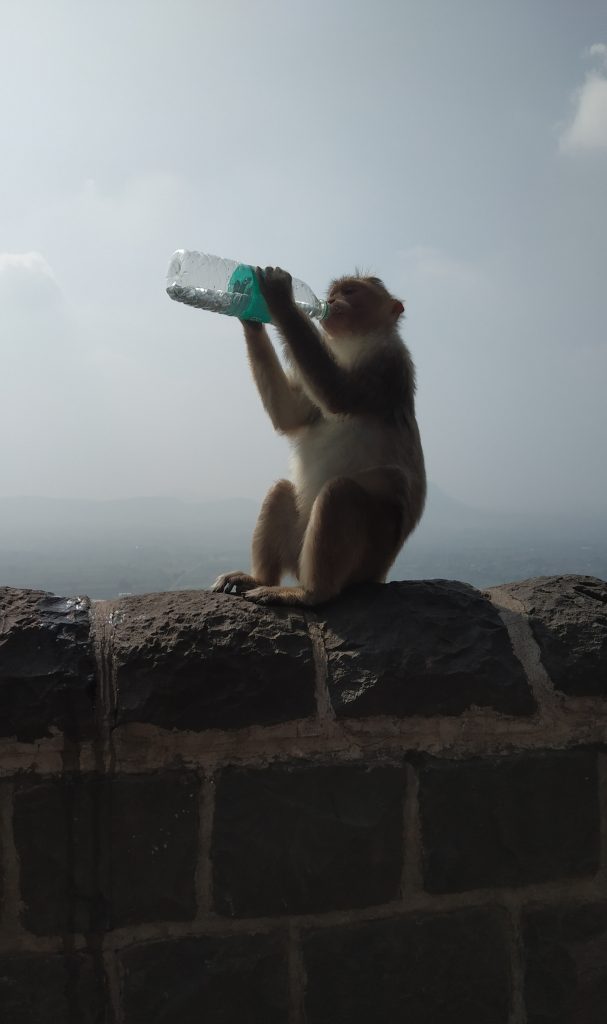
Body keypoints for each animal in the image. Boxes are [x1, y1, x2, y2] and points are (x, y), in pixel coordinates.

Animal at [211, 266, 426, 606]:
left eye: (350, 292)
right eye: (335, 293)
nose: (332, 302)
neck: (353, 341)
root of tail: (381, 574)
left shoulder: (389, 363)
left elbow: (338, 394)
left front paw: (279, 298)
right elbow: (290, 415)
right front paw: (250, 310)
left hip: (370, 556)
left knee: (340, 493)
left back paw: (309, 593)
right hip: (298, 545)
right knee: (282, 490)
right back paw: (259, 578)